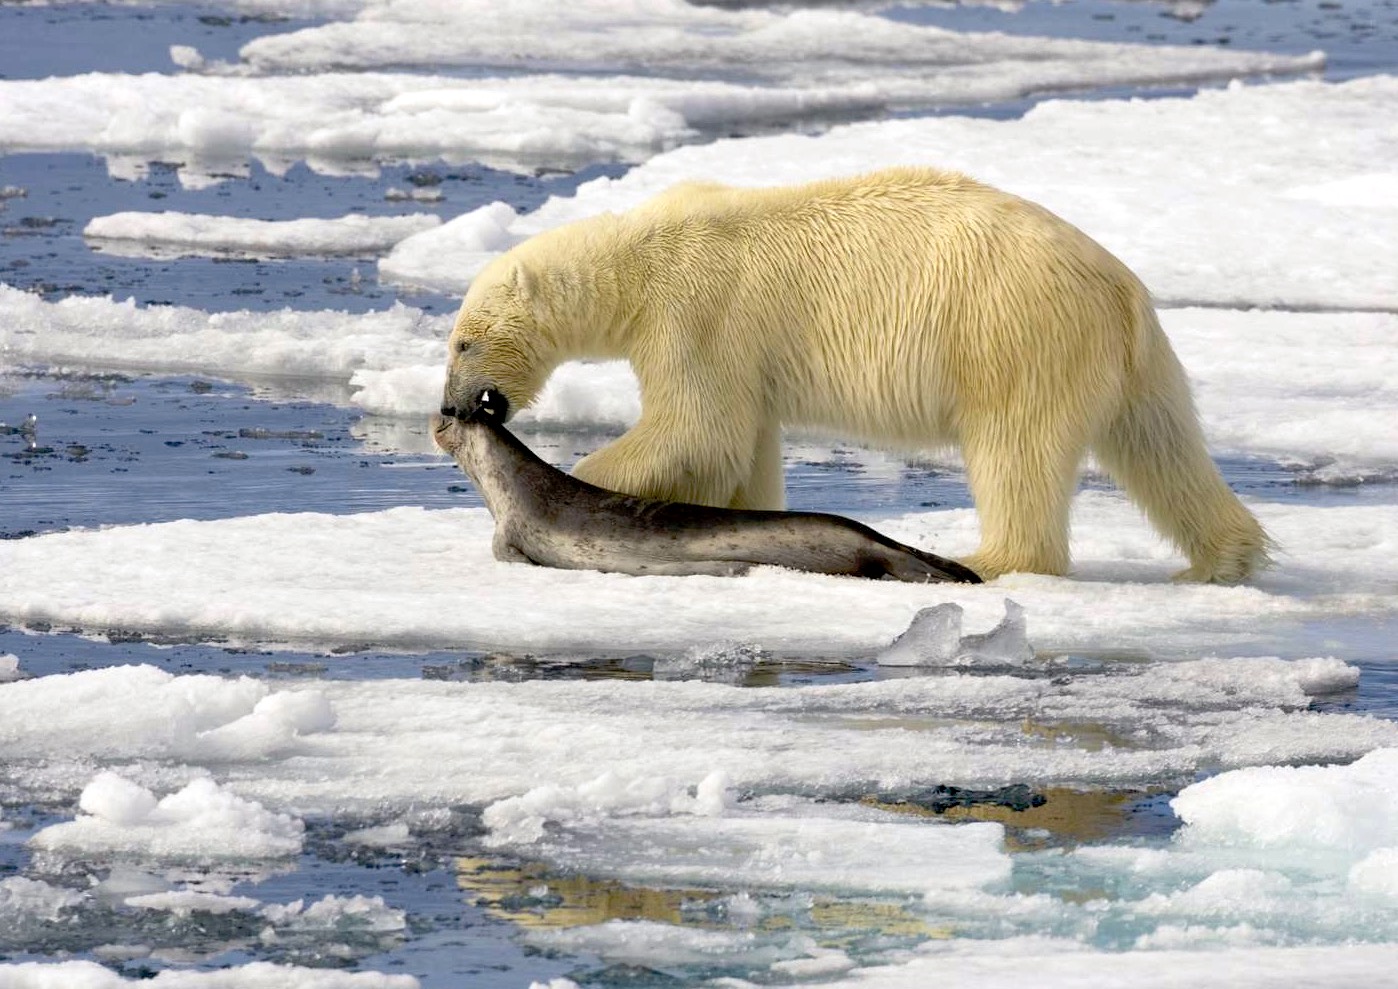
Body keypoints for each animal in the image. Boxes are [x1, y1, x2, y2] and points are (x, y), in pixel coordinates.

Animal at [439, 166, 1269, 583]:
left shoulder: (696, 313)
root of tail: (1120, 290)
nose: (452, 408)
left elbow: (695, 429)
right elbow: (745, 445)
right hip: (1132, 362)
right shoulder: (739, 349)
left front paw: (585, 487)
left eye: (461, 342)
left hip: (1014, 337)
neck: (640, 257)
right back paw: (1225, 557)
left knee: (1017, 451)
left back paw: (991, 558)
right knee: (1162, 445)